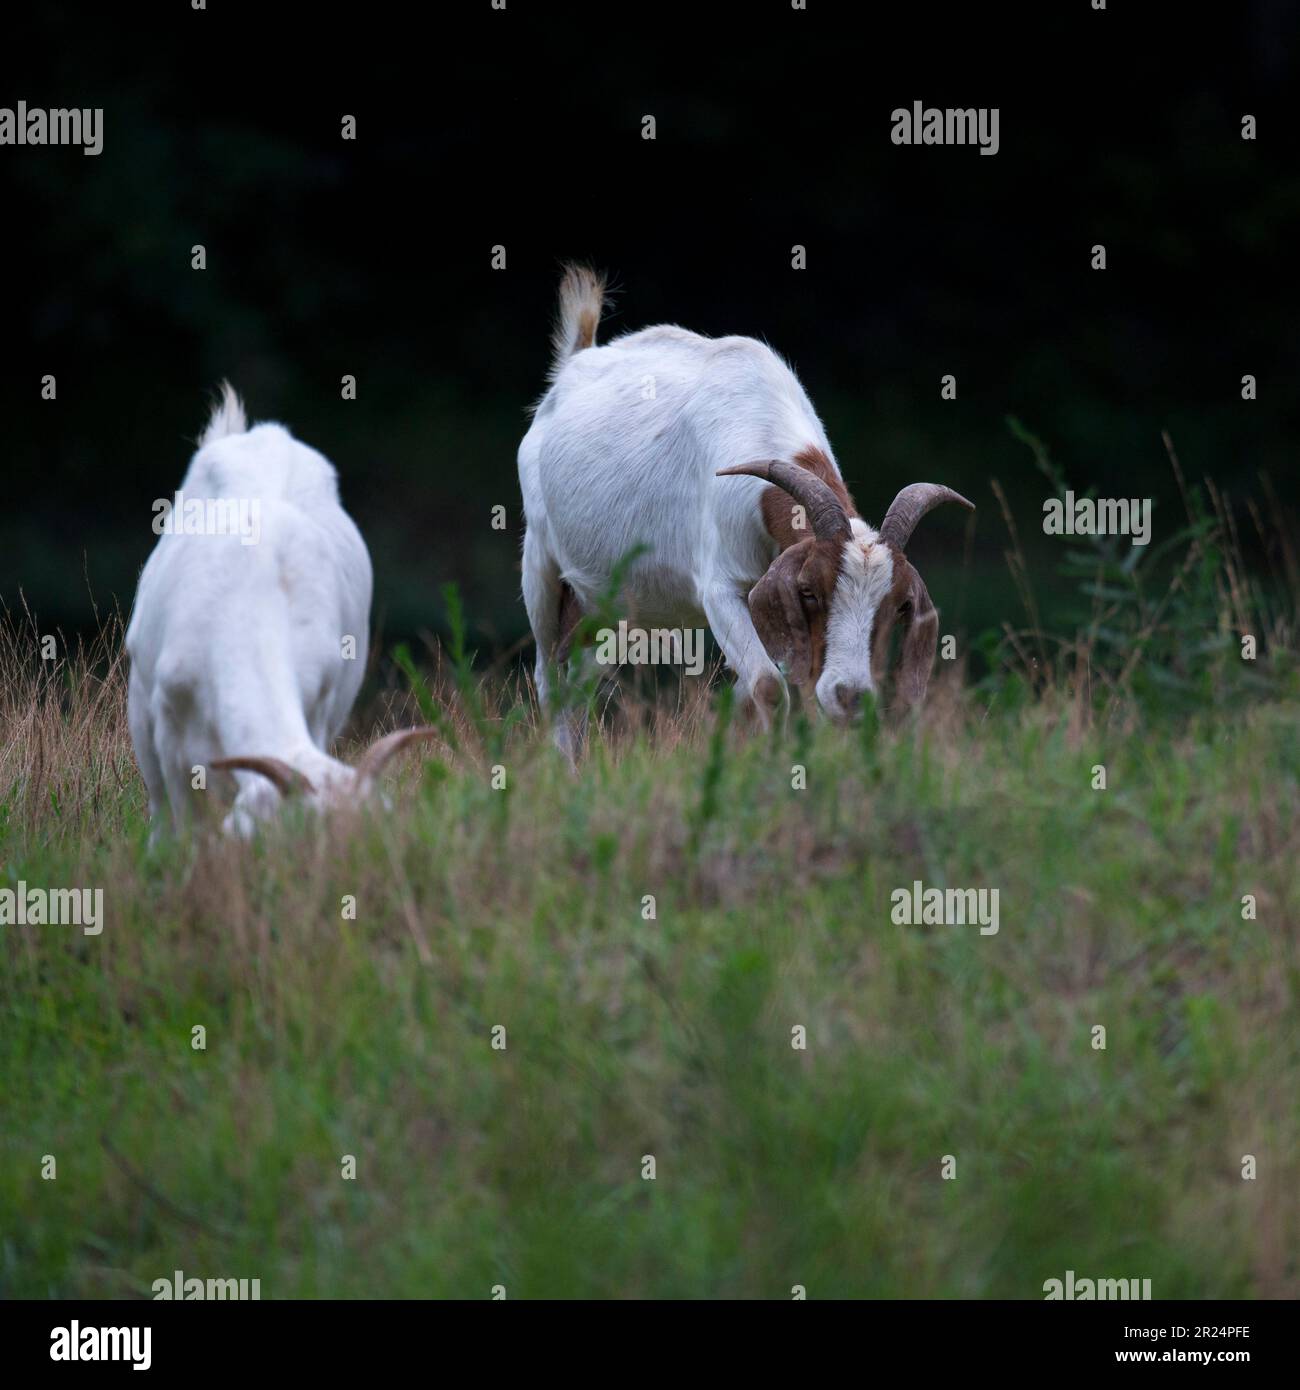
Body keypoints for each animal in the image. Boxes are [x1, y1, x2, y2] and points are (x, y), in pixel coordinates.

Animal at [517, 266, 973, 741]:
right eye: (808, 591)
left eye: (899, 604)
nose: (849, 698)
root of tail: (575, 363)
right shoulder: (720, 587)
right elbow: (769, 687)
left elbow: (746, 694)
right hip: (541, 569)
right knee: (550, 681)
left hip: (617, 609)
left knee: (580, 687)